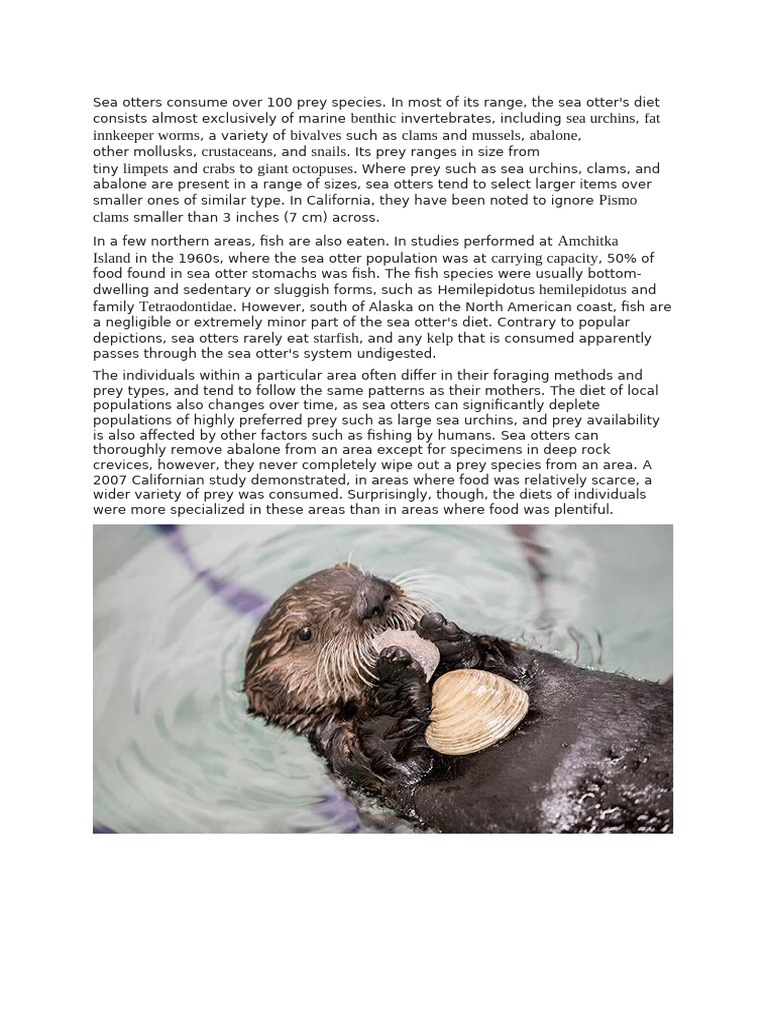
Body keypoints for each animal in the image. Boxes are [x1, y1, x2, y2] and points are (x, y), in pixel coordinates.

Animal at [244, 563, 672, 833]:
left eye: (356, 572)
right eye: (305, 633)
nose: (374, 597)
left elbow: (506, 662)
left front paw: (444, 635)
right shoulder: (343, 749)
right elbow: (397, 763)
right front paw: (395, 687)